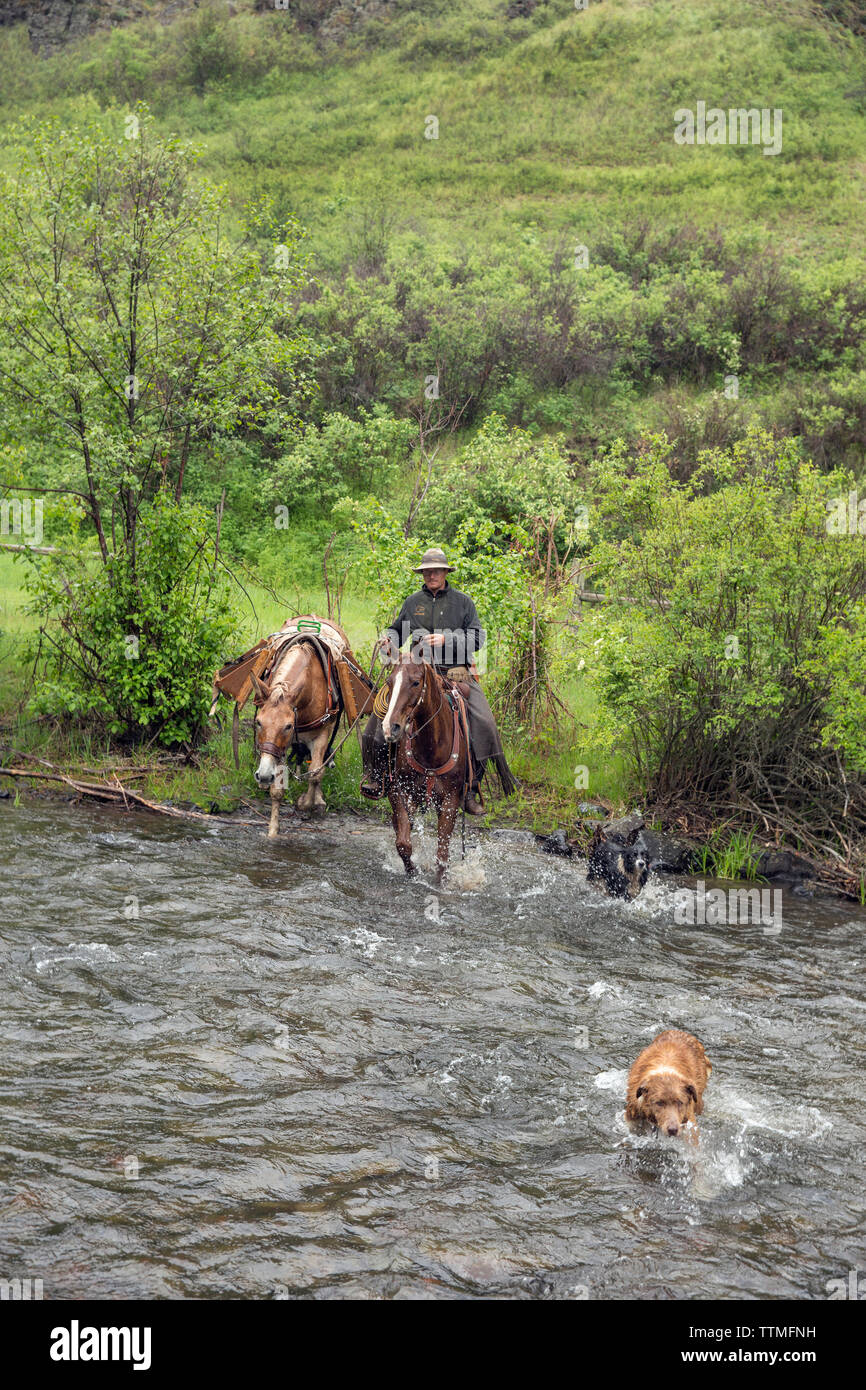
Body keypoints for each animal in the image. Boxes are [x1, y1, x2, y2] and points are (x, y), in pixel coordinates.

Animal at [249, 639, 341, 837]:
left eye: (288, 726)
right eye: (258, 722)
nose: (263, 776)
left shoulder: (321, 734)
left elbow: (315, 773)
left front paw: (305, 802)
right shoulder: (281, 748)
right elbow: (277, 788)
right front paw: (272, 832)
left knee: (319, 767)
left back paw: (318, 800)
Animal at [380, 654, 472, 885]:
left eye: (415, 682)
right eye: (389, 682)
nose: (390, 727)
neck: (432, 747)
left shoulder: (450, 800)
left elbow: (442, 856)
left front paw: (438, 883)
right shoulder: (401, 792)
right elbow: (403, 843)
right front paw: (413, 871)